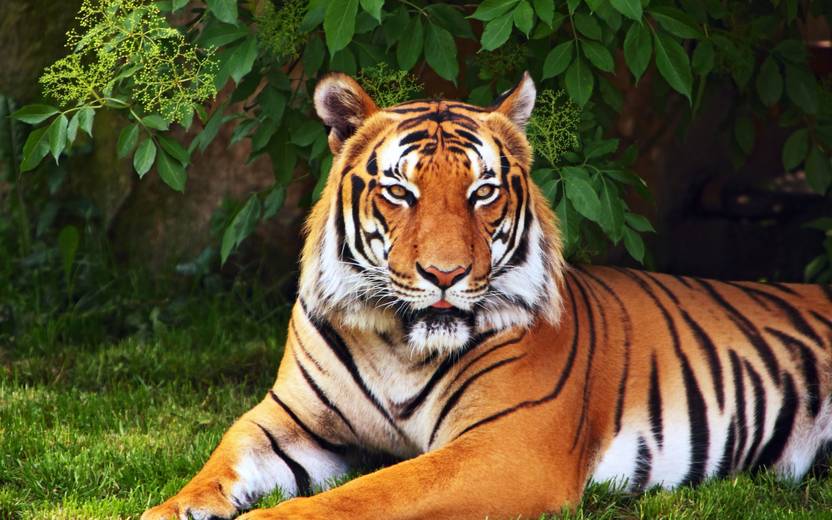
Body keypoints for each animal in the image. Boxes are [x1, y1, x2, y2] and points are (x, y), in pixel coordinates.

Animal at [141, 72, 832, 520]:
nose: (444, 274)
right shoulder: (288, 420)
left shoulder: (505, 447)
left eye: (483, 192)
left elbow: (369, 494)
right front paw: (173, 509)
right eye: (400, 192)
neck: (398, 343)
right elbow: (220, 460)